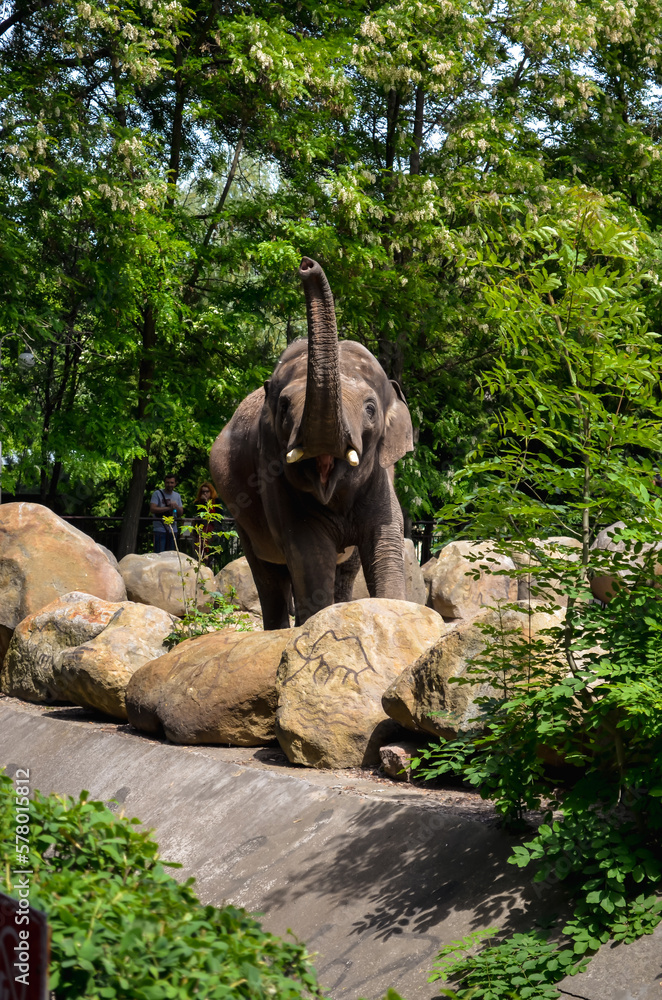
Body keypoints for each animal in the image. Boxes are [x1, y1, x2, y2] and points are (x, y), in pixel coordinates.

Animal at [210, 256, 414, 629]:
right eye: (285, 406)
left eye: (370, 409)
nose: (306, 264)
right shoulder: (273, 477)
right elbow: (308, 551)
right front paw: (316, 624)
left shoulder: (381, 477)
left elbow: (386, 538)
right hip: (240, 515)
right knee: (269, 576)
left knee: (345, 569)